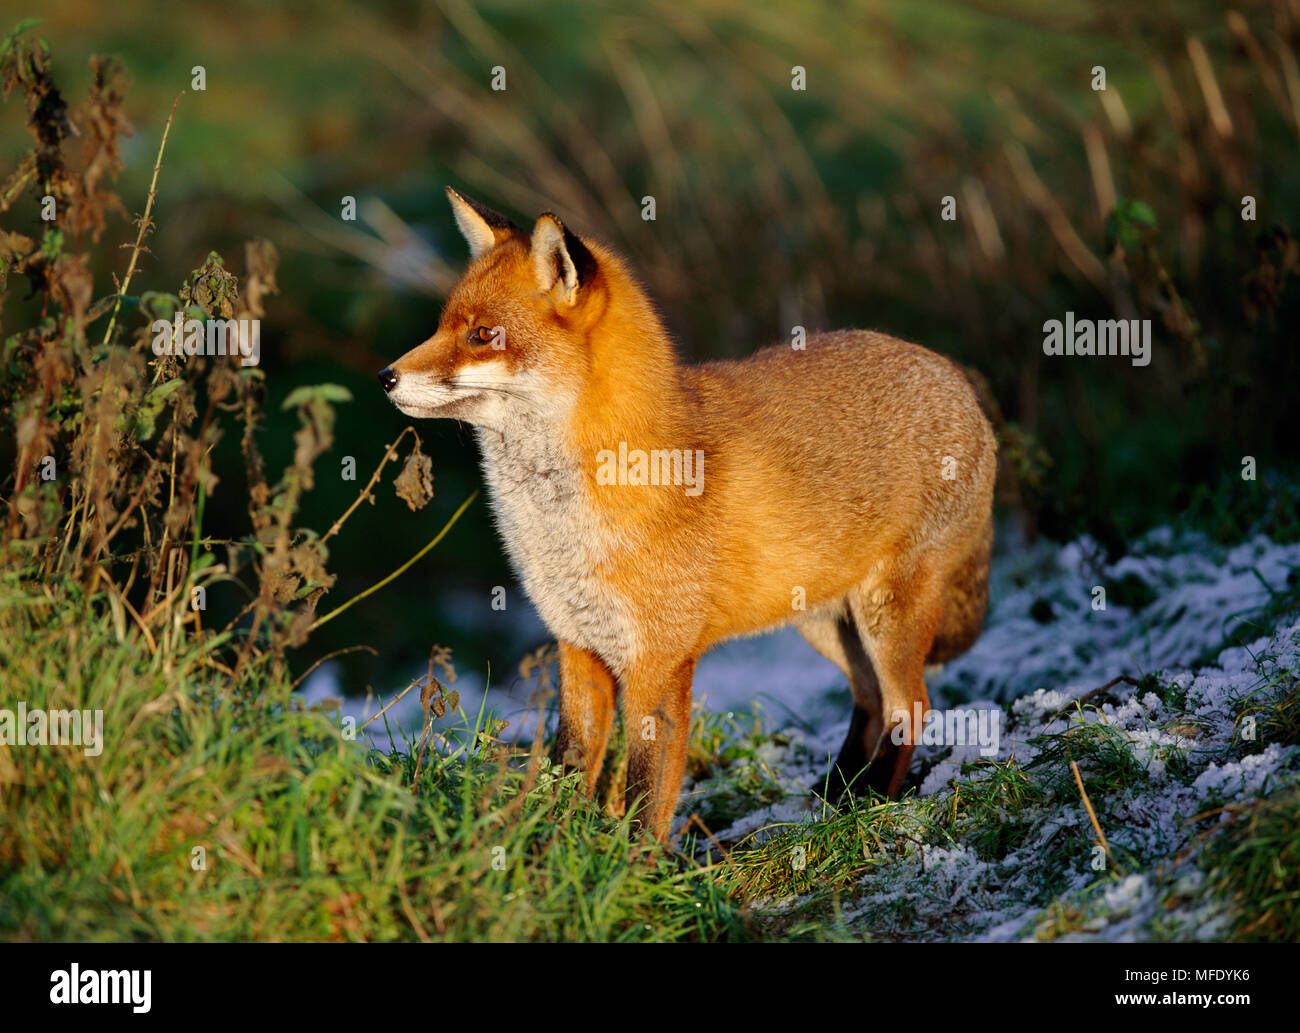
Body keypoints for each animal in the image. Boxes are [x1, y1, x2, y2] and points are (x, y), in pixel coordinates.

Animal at [379, 187, 997, 840]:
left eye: (482, 335)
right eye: (443, 325)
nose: (385, 377)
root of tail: (955, 377)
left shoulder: (660, 662)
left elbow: (646, 793)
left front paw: (629, 863)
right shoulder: (578, 645)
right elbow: (570, 766)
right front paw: (552, 848)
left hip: (885, 618)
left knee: (913, 705)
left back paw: (874, 800)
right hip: (826, 625)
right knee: (872, 702)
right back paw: (836, 797)